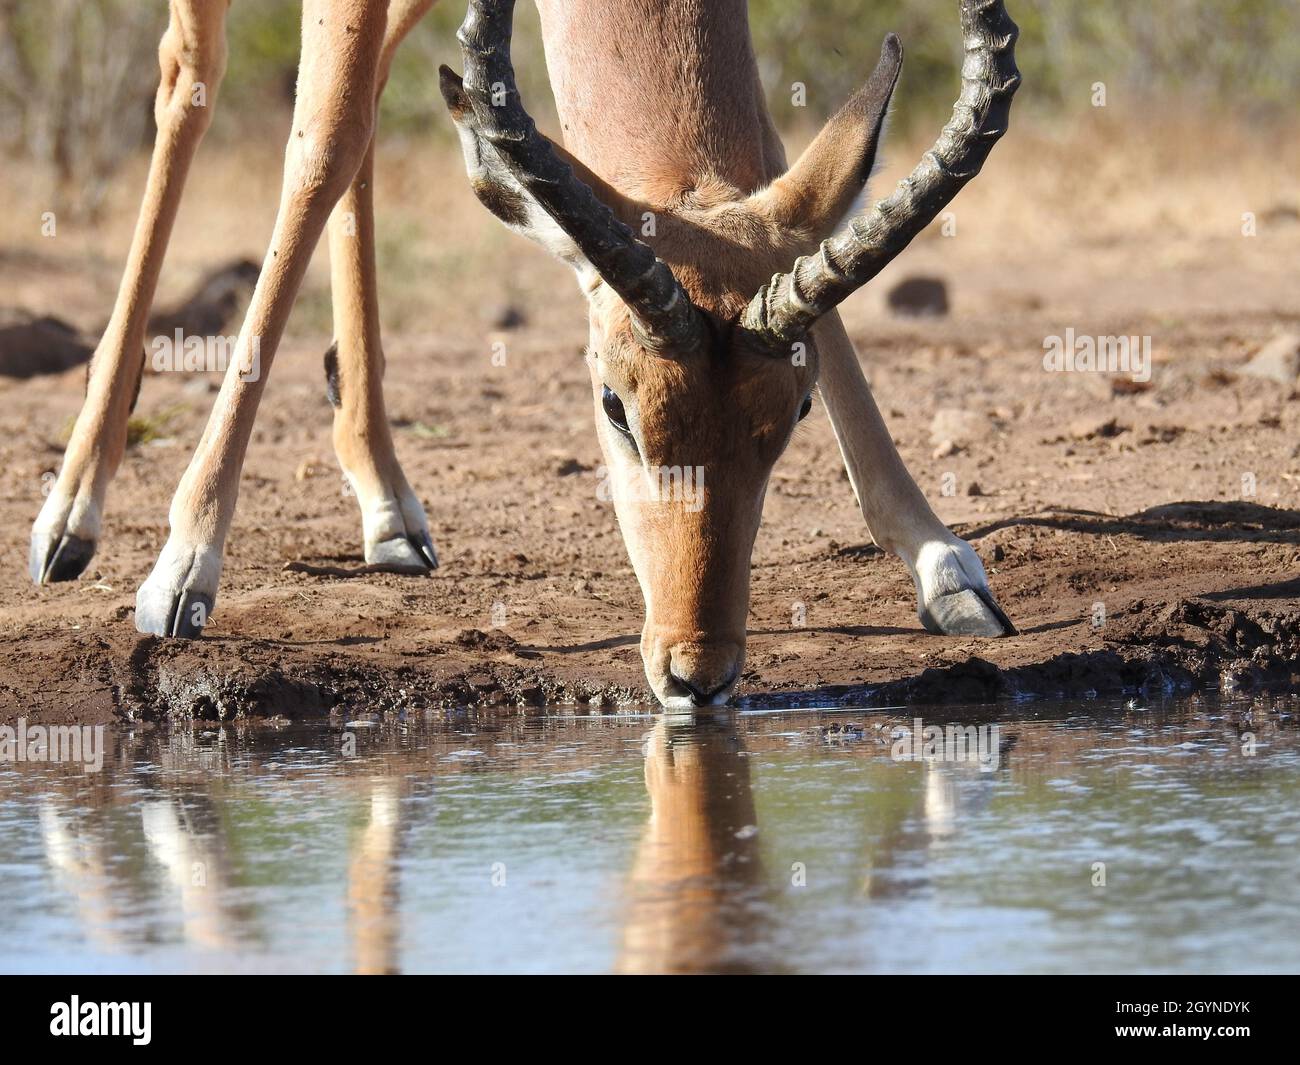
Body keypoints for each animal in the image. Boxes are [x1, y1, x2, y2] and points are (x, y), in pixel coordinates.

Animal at [29, 0, 1020, 711]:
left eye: (794, 413)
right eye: (614, 405)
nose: (697, 675)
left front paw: (943, 567)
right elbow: (320, 146)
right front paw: (182, 567)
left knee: (378, 87)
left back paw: (387, 503)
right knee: (197, 77)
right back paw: (72, 515)